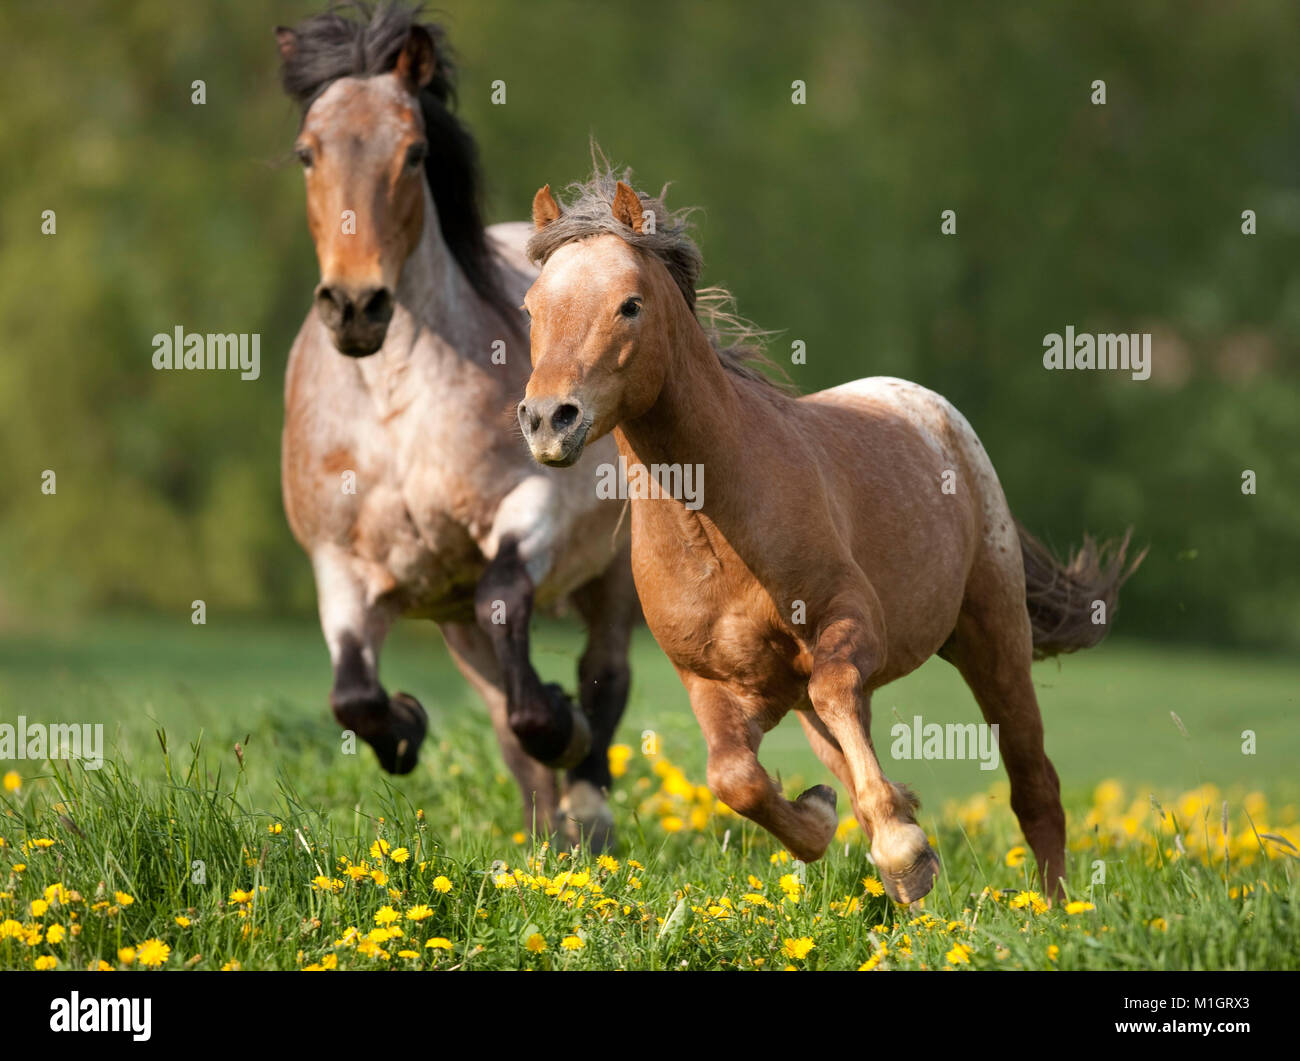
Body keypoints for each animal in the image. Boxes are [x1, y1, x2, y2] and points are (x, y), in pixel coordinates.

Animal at [274, 4, 637, 848]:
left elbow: (509, 603)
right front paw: (406, 723)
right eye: (308, 153)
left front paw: (560, 723)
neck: (394, 408)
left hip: (614, 574)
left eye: (413, 153)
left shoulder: (530, 507)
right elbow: (352, 693)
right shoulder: (340, 564)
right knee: (506, 718)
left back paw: (588, 809)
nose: (356, 306)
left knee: (604, 679)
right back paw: (547, 839)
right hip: (457, 626)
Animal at [517, 167, 1142, 901]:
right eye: (530, 306)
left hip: (994, 637)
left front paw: (903, 850)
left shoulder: (849, 623)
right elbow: (735, 778)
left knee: (1034, 782)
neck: (714, 532)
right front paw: (832, 819)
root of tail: (933, 410)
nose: (548, 420)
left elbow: (831, 689)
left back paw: (1052, 908)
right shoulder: (714, 684)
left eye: (630, 304)